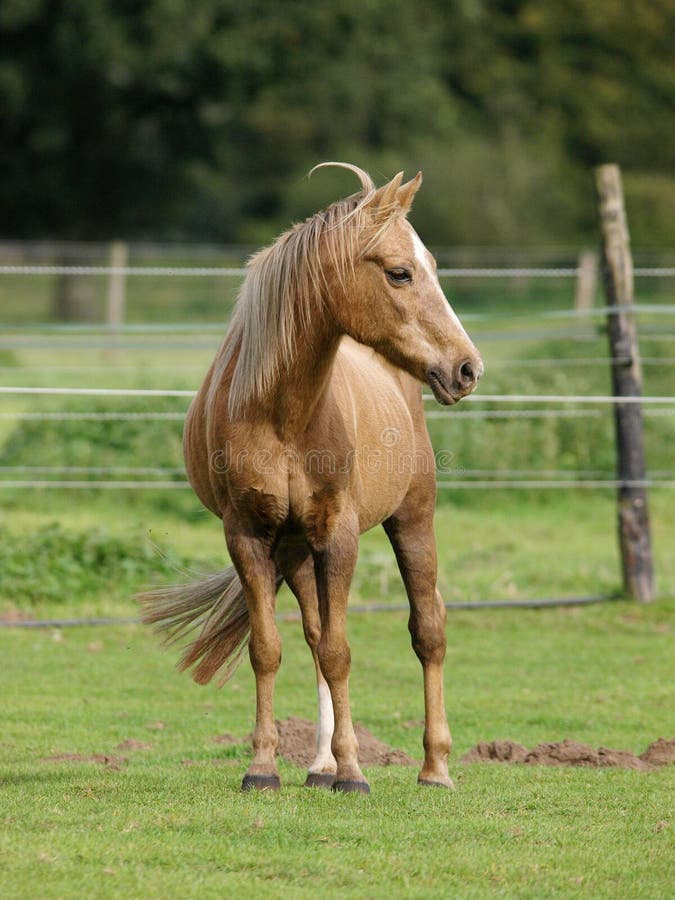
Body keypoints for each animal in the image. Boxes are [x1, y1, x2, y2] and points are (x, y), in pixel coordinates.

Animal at [140, 163, 483, 793]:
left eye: (430, 266)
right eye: (400, 272)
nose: (467, 368)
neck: (283, 413)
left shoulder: (339, 535)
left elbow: (341, 651)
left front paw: (354, 771)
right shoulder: (249, 537)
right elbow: (273, 649)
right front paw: (264, 767)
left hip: (411, 518)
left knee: (428, 630)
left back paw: (434, 767)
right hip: (297, 551)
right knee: (315, 634)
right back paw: (320, 765)